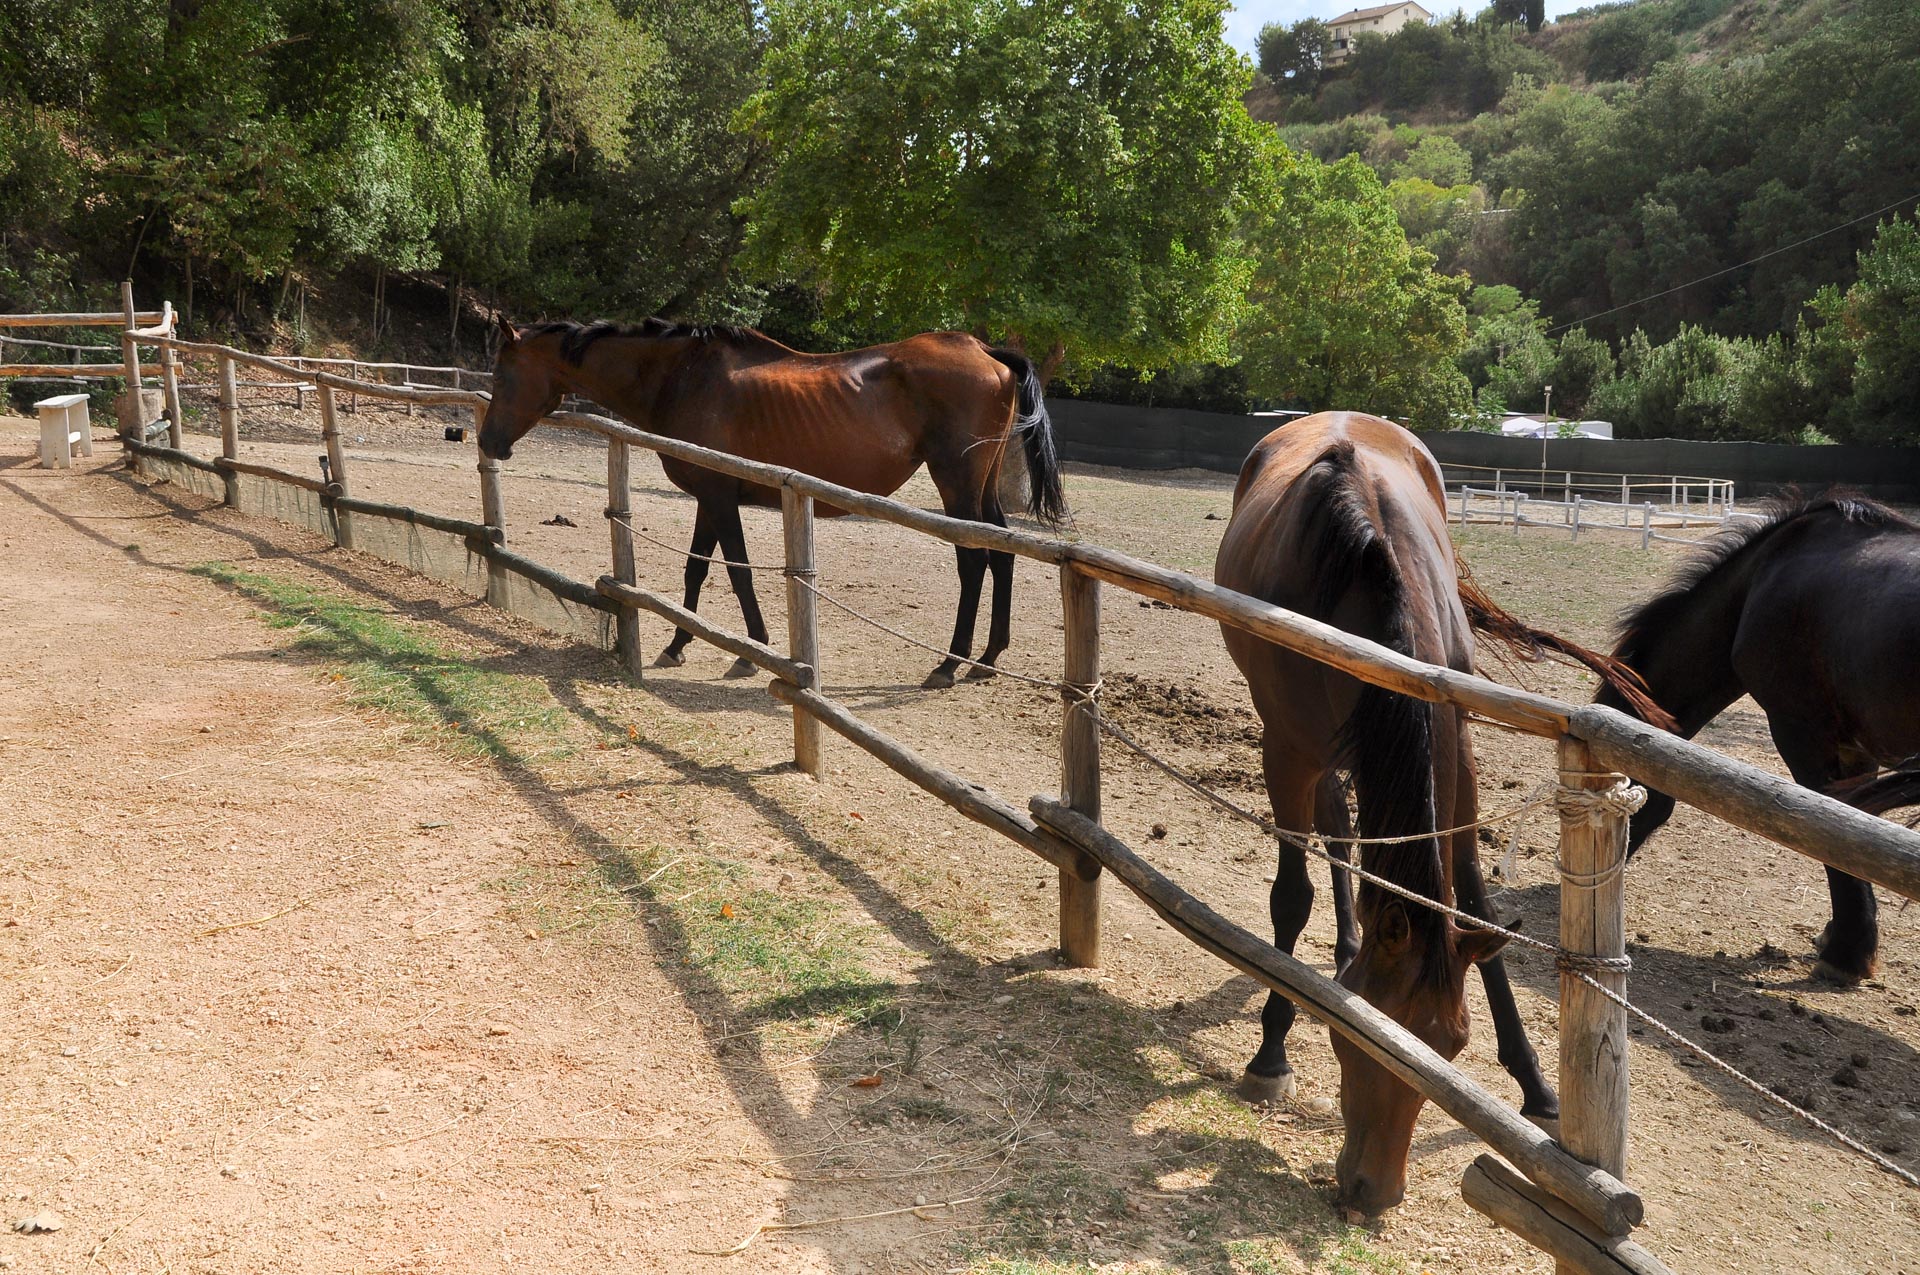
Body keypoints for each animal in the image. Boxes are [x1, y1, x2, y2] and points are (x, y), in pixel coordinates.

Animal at [478, 316, 1067, 689]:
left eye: (503, 373)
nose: (487, 442)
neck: (681, 379)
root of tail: (984, 350)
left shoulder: (720, 498)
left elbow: (736, 568)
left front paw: (753, 650)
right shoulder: (709, 496)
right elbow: (696, 568)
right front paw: (678, 643)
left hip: (958, 485)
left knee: (974, 563)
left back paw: (950, 663)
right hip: (981, 490)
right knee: (1004, 556)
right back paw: (987, 658)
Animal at [1213, 412, 1666, 1215]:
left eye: (1453, 1043)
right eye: (1358, 1035)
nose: (1376, 1190)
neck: (1362, 570)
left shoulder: (1454, 756)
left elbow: (1475, 902)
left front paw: (1537, 1083)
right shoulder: (1286, 750)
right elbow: (1290, 895)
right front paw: (1271, 1049)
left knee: (1344, 831)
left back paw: (1349, 941)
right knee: (1331, 835)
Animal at [1597, 491, 1920, 984]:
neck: (1759, 582)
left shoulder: (1803, 734)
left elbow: (1831, 834)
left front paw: (1847, 953)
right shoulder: (1854, 748)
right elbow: (1856, 835)